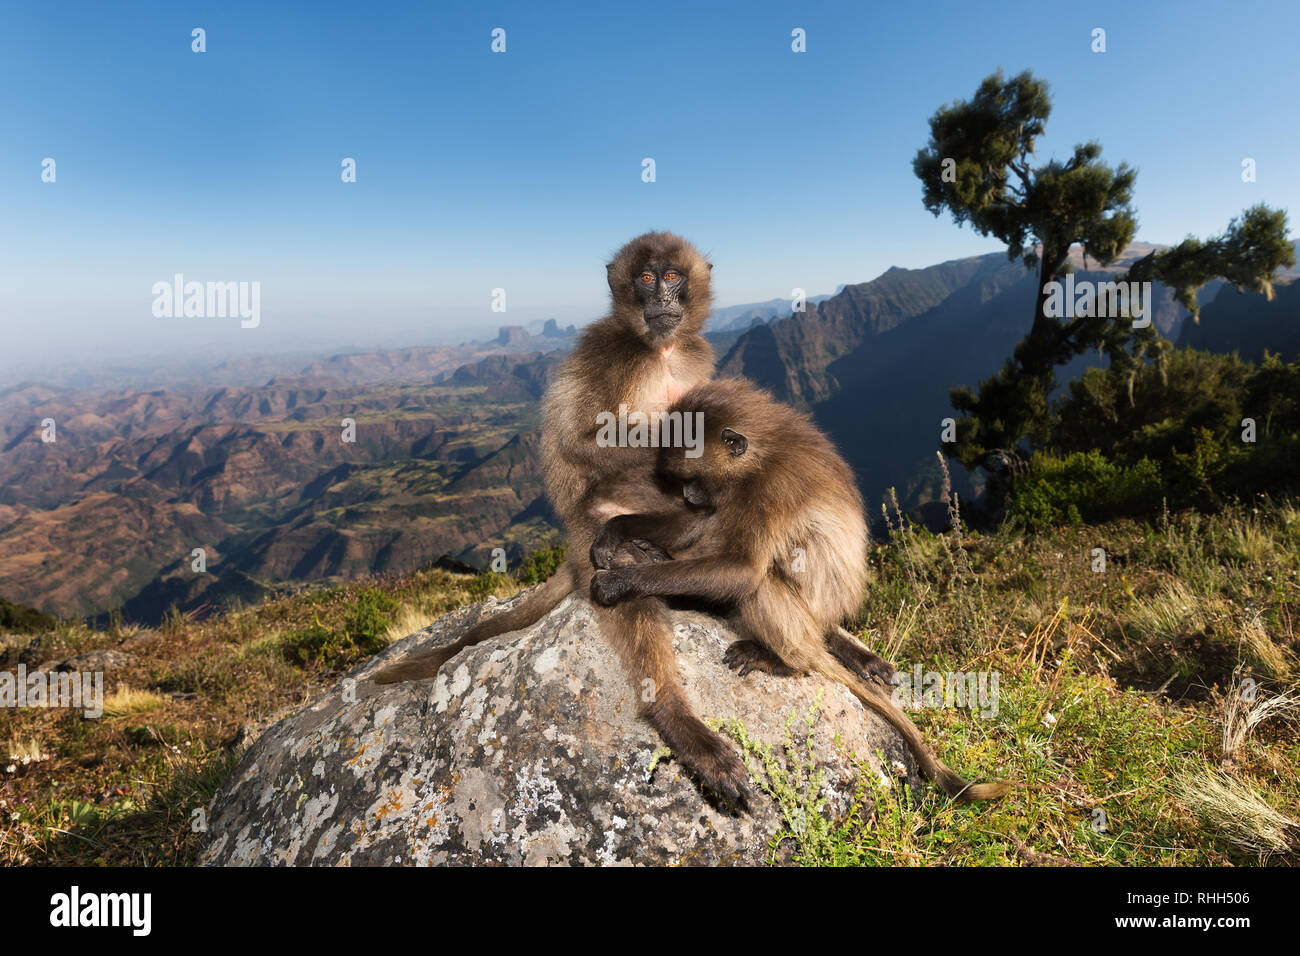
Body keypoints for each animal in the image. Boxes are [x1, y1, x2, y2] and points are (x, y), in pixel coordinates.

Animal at [370, 233, 756, 802]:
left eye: (672, 276)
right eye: (645, 278)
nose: (661, 298)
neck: (660, 351)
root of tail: (572, 546)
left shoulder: (694, 359)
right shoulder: (611, 354)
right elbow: (579, 441)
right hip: (591, 531)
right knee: (620, 574)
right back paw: (674, 716)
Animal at [588, 377, 1011, 803]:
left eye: (693, 479)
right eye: (682, 483)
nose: (688, 497)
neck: (761, 457)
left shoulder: (767, 490)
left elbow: (741, 571)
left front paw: (621, 582)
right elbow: (693, 527)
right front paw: (615, 532)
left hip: (804, 617)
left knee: (760, 586)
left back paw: (783, 660)